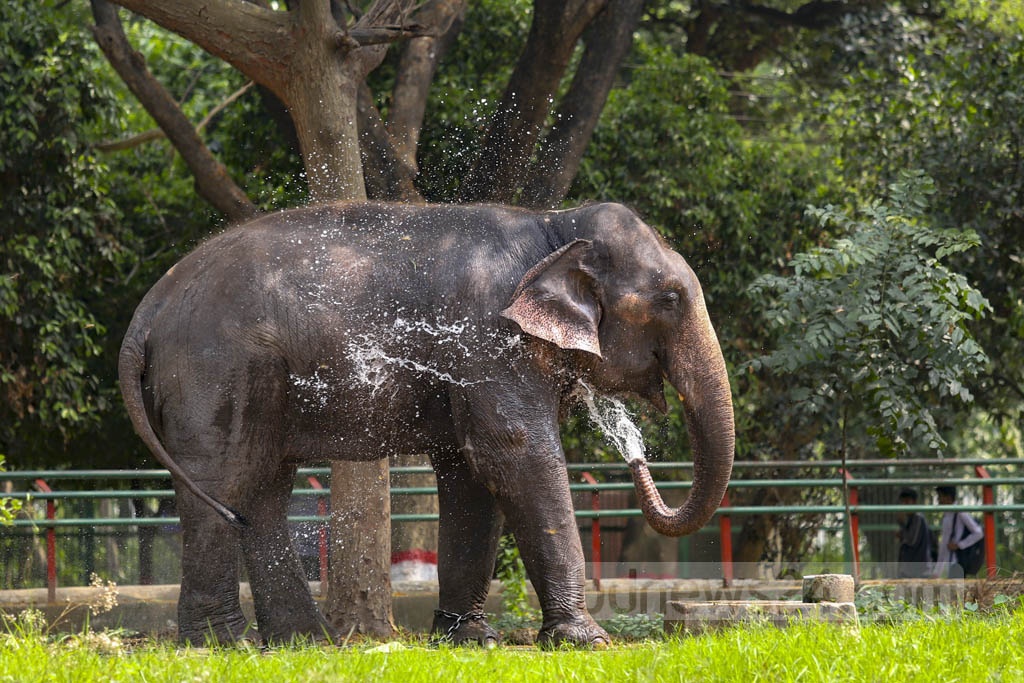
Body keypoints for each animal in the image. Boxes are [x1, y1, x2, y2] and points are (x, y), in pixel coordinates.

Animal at [119, 201, 735, 647]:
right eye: (670, 299)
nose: (636, 456)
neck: (553, 225)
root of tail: (152, 302)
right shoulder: (492, 342)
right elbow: (514, 453)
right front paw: (587, 641)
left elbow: (471, 470)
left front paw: (472, 640)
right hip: (215, 367)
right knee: (222, 482)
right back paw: (222, 645)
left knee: (263, 488)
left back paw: (302, 642)